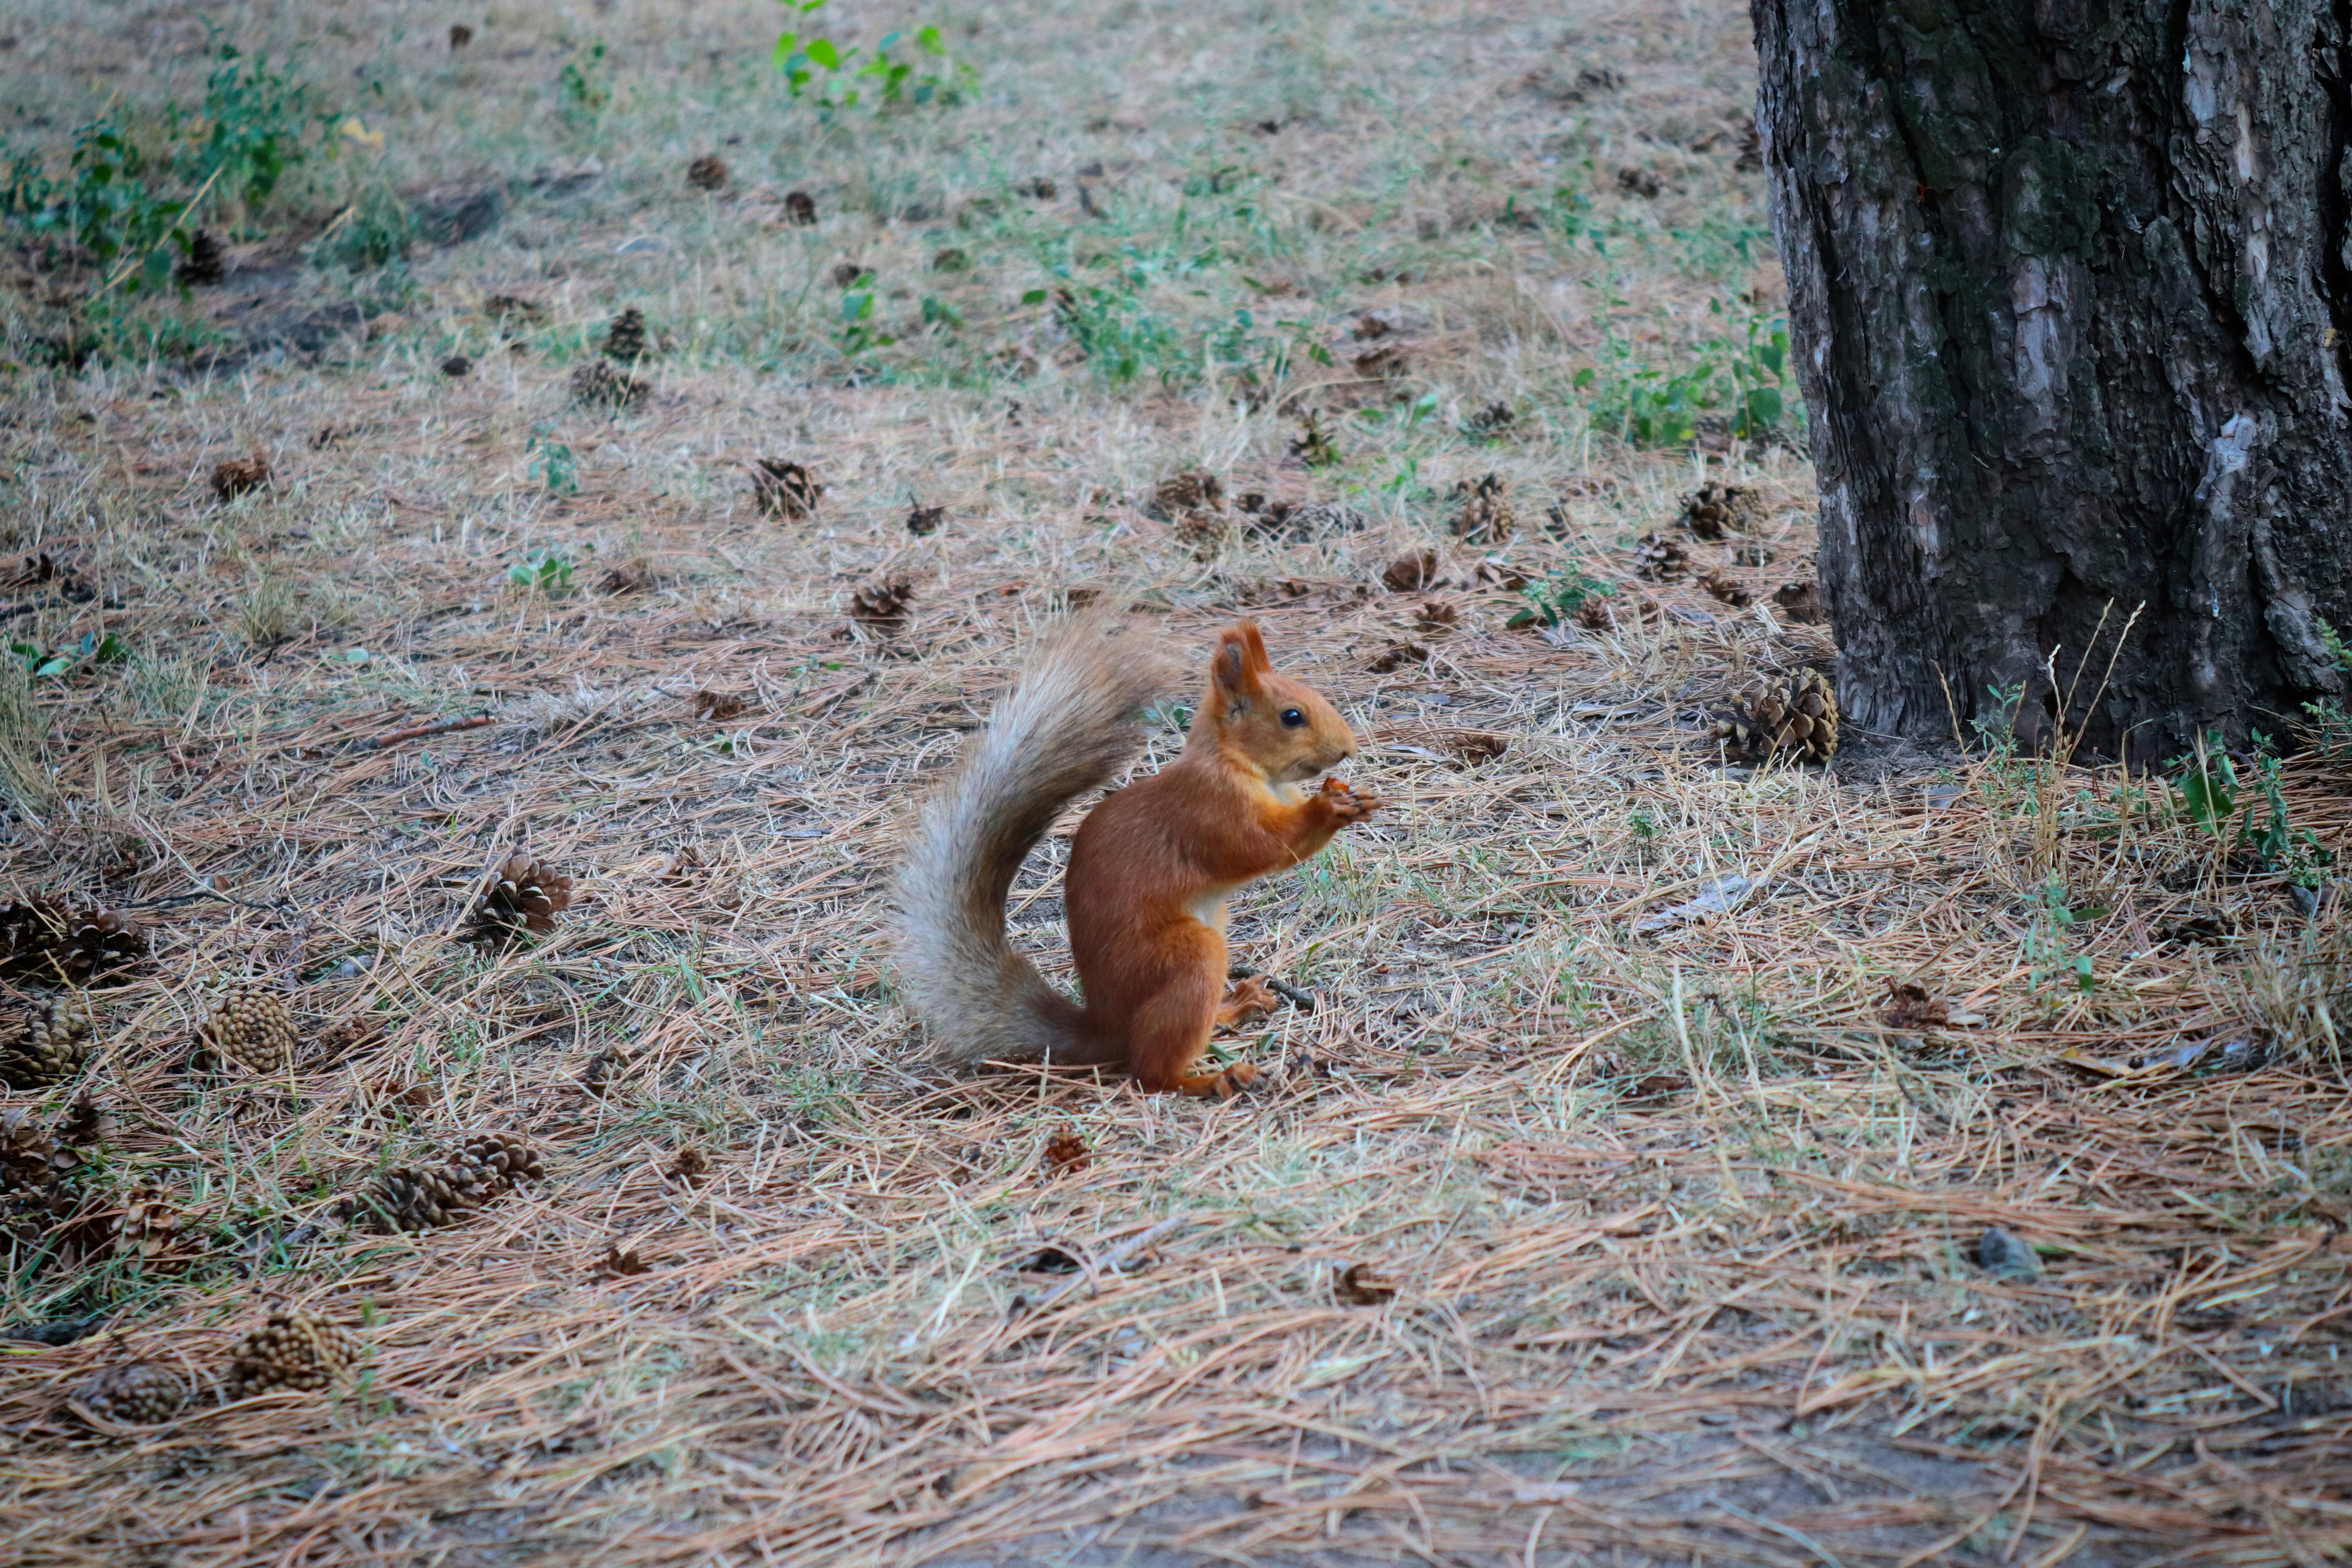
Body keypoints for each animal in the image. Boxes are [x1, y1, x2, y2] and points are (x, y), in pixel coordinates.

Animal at [895, 616, 1382, 1096]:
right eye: (1292, 716)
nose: (1350, 748)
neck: (1241, 764)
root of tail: (1107, 1026)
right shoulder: (1212, 810)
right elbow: (1261, 845)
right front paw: (1327, 807)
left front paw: (1349, 797)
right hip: (1185, 960)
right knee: (1151, 1072)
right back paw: (1214, 1077)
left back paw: (1236, 1005)